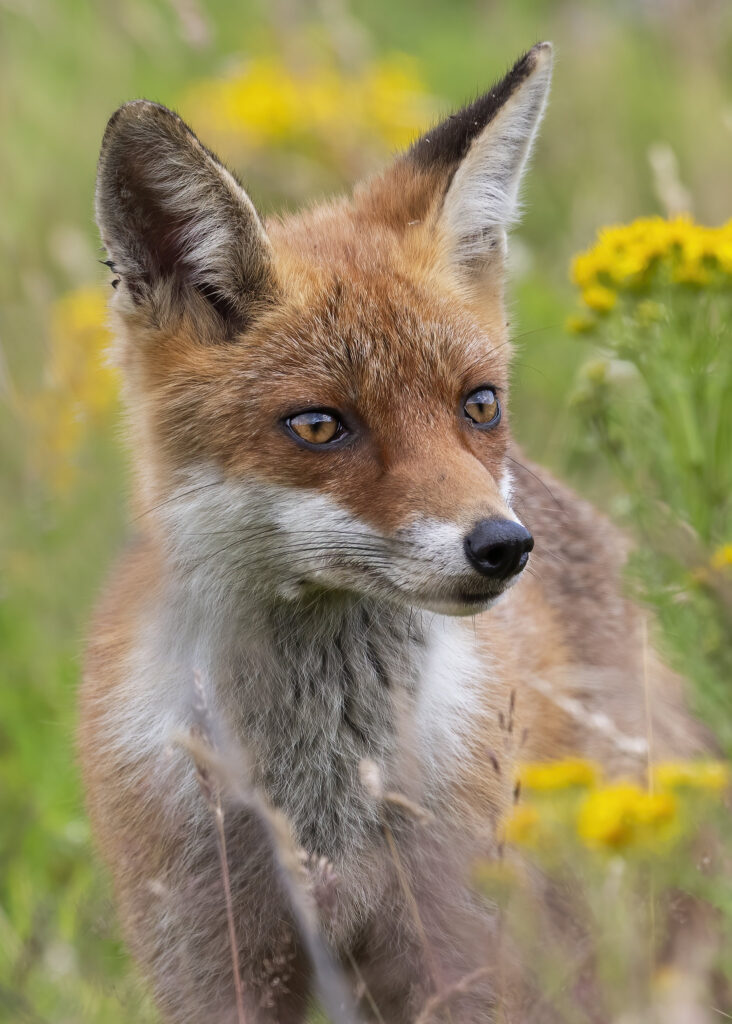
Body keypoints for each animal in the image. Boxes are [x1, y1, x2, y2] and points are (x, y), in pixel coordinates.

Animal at [80, 41, 704, 1024]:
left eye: (478, 405)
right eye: (319, 426)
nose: (502, 546)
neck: (323, 809)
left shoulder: (462, 949)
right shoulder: (210, 959)